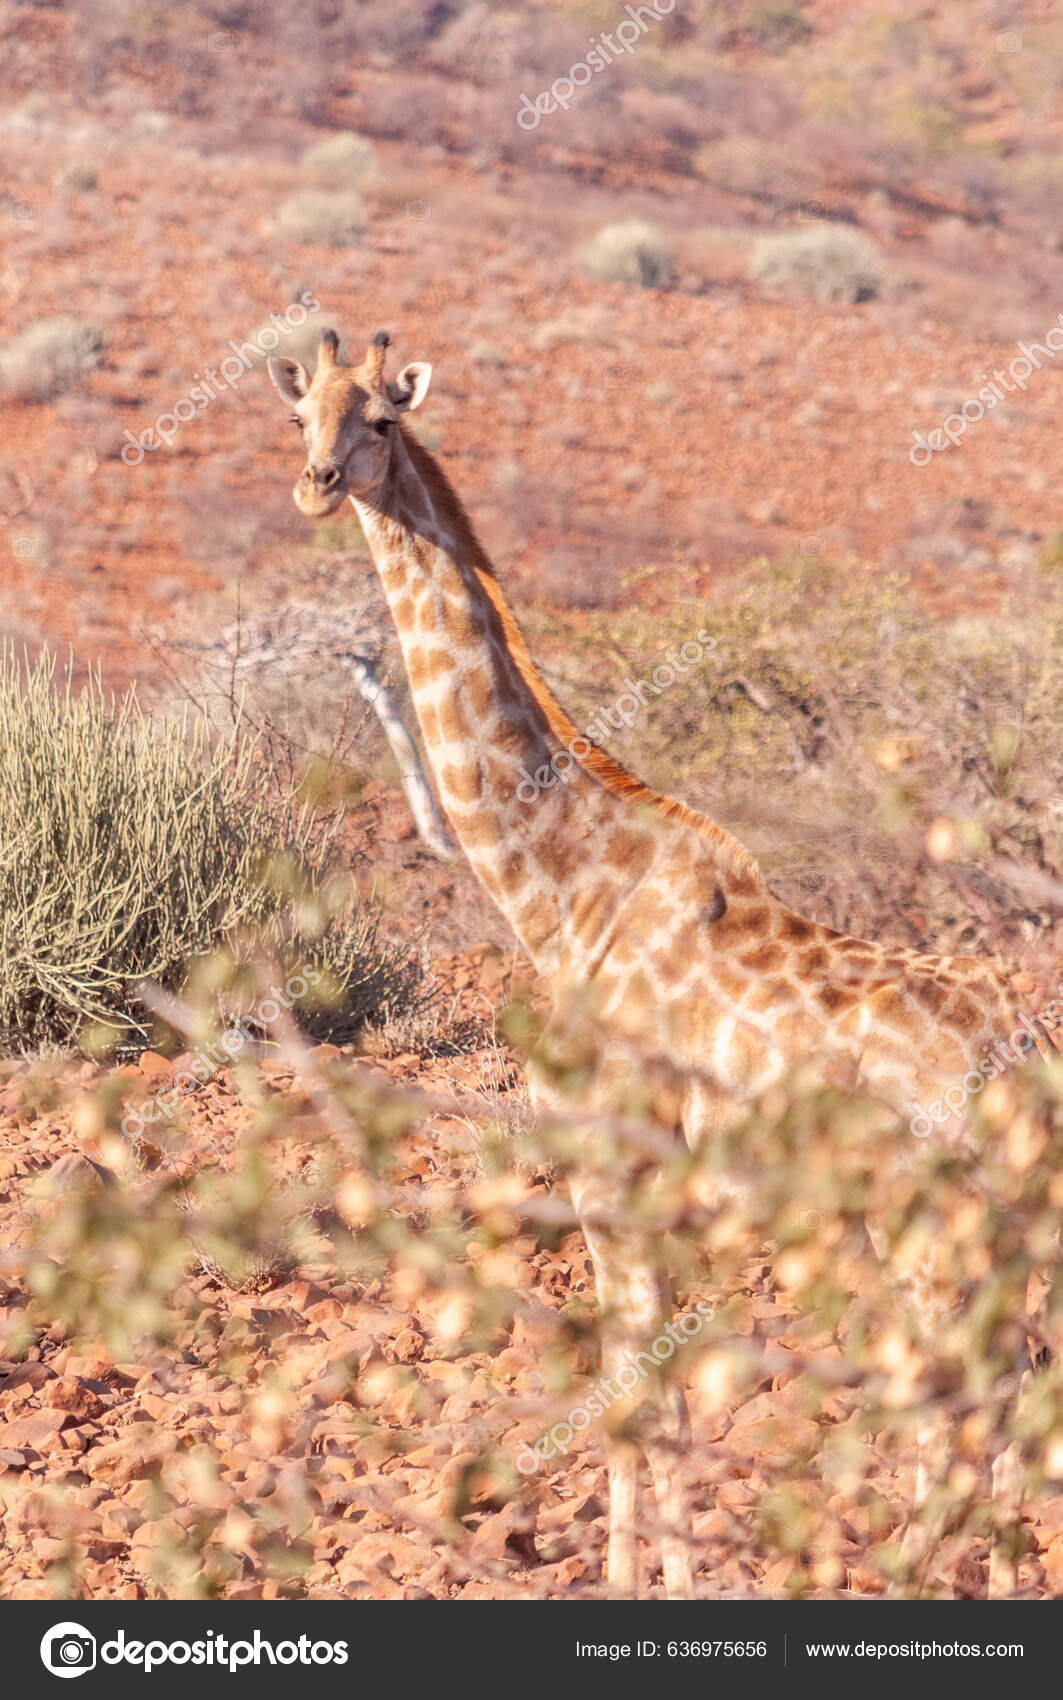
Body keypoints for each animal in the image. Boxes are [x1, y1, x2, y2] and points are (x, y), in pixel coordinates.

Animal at [270, 327, 1058, 1598]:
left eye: (382, 418)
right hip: (989, 1239)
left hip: (927, 1233)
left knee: (962, 1418)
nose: (318, 483)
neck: (556, 883)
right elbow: (667, 1385)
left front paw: (641, 1582)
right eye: (299, 418)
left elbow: (632, 1382)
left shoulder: (607, 1162)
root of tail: (1025, 1057)